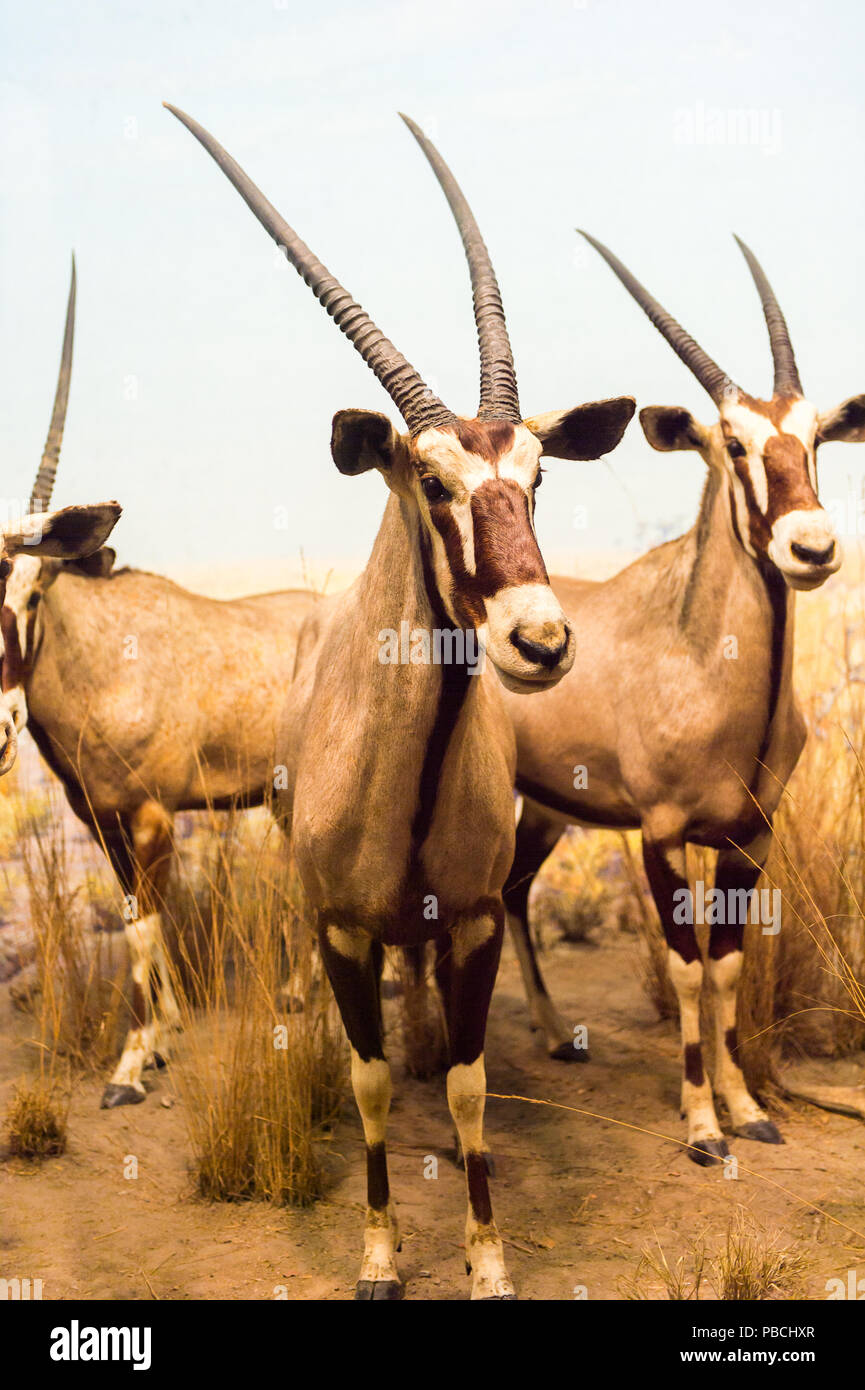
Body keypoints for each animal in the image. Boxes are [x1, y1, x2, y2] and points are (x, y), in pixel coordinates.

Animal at [2, 262, 320, 1109]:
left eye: (33, 595)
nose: (1, 728)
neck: (101, 662)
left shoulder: (149, 820)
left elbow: (146, 925)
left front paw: (132, 1063)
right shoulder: (101, 821)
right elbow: (135, 920)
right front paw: (165, 1036)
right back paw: (297, 990)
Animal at [167, 102, 634, 1299]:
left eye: (538, 477)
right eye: (431, 482)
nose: (540, 639)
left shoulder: (469, 922)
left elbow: (469, 1089)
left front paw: (488, 1260)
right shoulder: (339, 929)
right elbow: (368, 1079)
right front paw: (380, 1254)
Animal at [500, 231, 865, 1164]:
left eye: (815, 439)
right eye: (731, 445)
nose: (810, 548)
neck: (704, 660)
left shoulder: (749, 838)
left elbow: (728, 967)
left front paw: (747, 1109)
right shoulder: (661, 836)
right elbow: (685, 966)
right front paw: (701, 1127)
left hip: (545, 809)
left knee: (513, 890)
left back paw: (552, 1033)